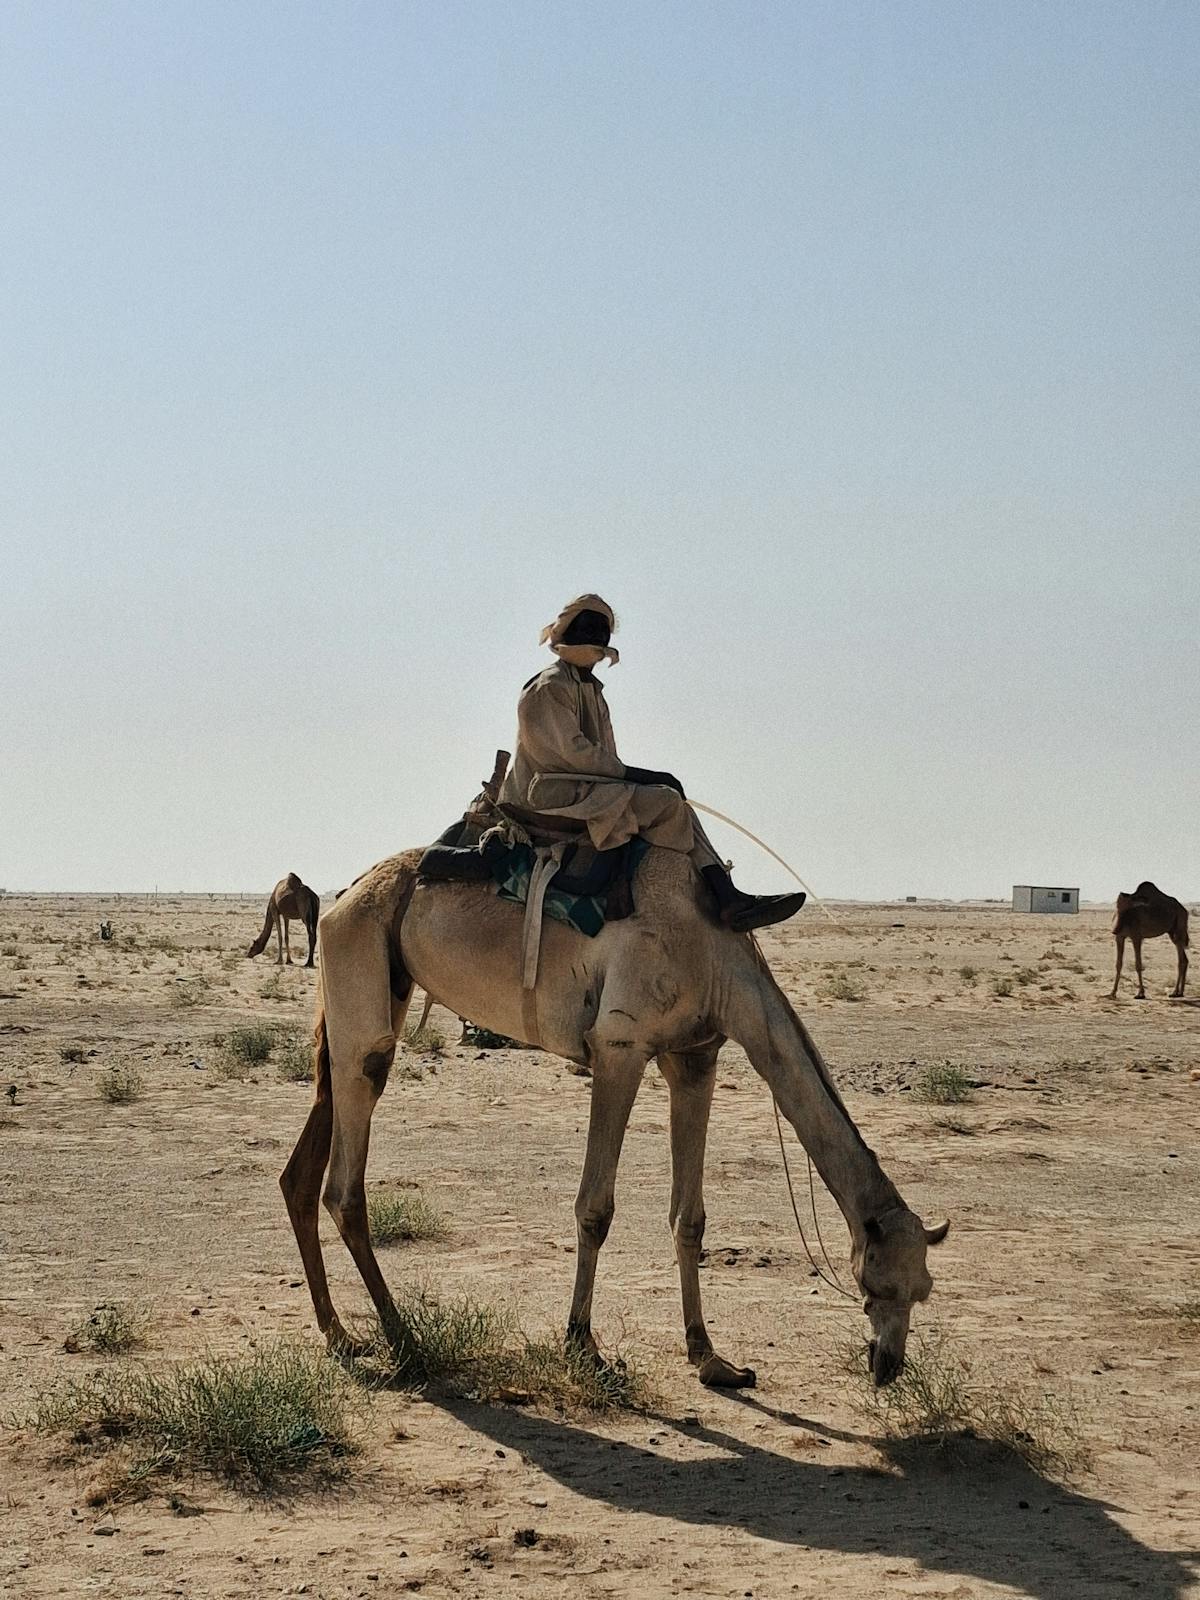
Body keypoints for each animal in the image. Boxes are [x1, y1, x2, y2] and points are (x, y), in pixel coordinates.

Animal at [281, 844, 948, 1390]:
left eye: (924, 1291)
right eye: (879, 1282)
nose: (888, 1366)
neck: (714, 954)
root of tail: (347, 896)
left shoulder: (695, 1058)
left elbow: (690, 1218)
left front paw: (710, 1357)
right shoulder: (619, 1048)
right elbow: (595, 1209)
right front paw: (582, 1345)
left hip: (370, 997)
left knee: (304, 1167)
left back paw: (341, 1335)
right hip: (363, 977)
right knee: (344, 1181)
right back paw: (401, 1336)